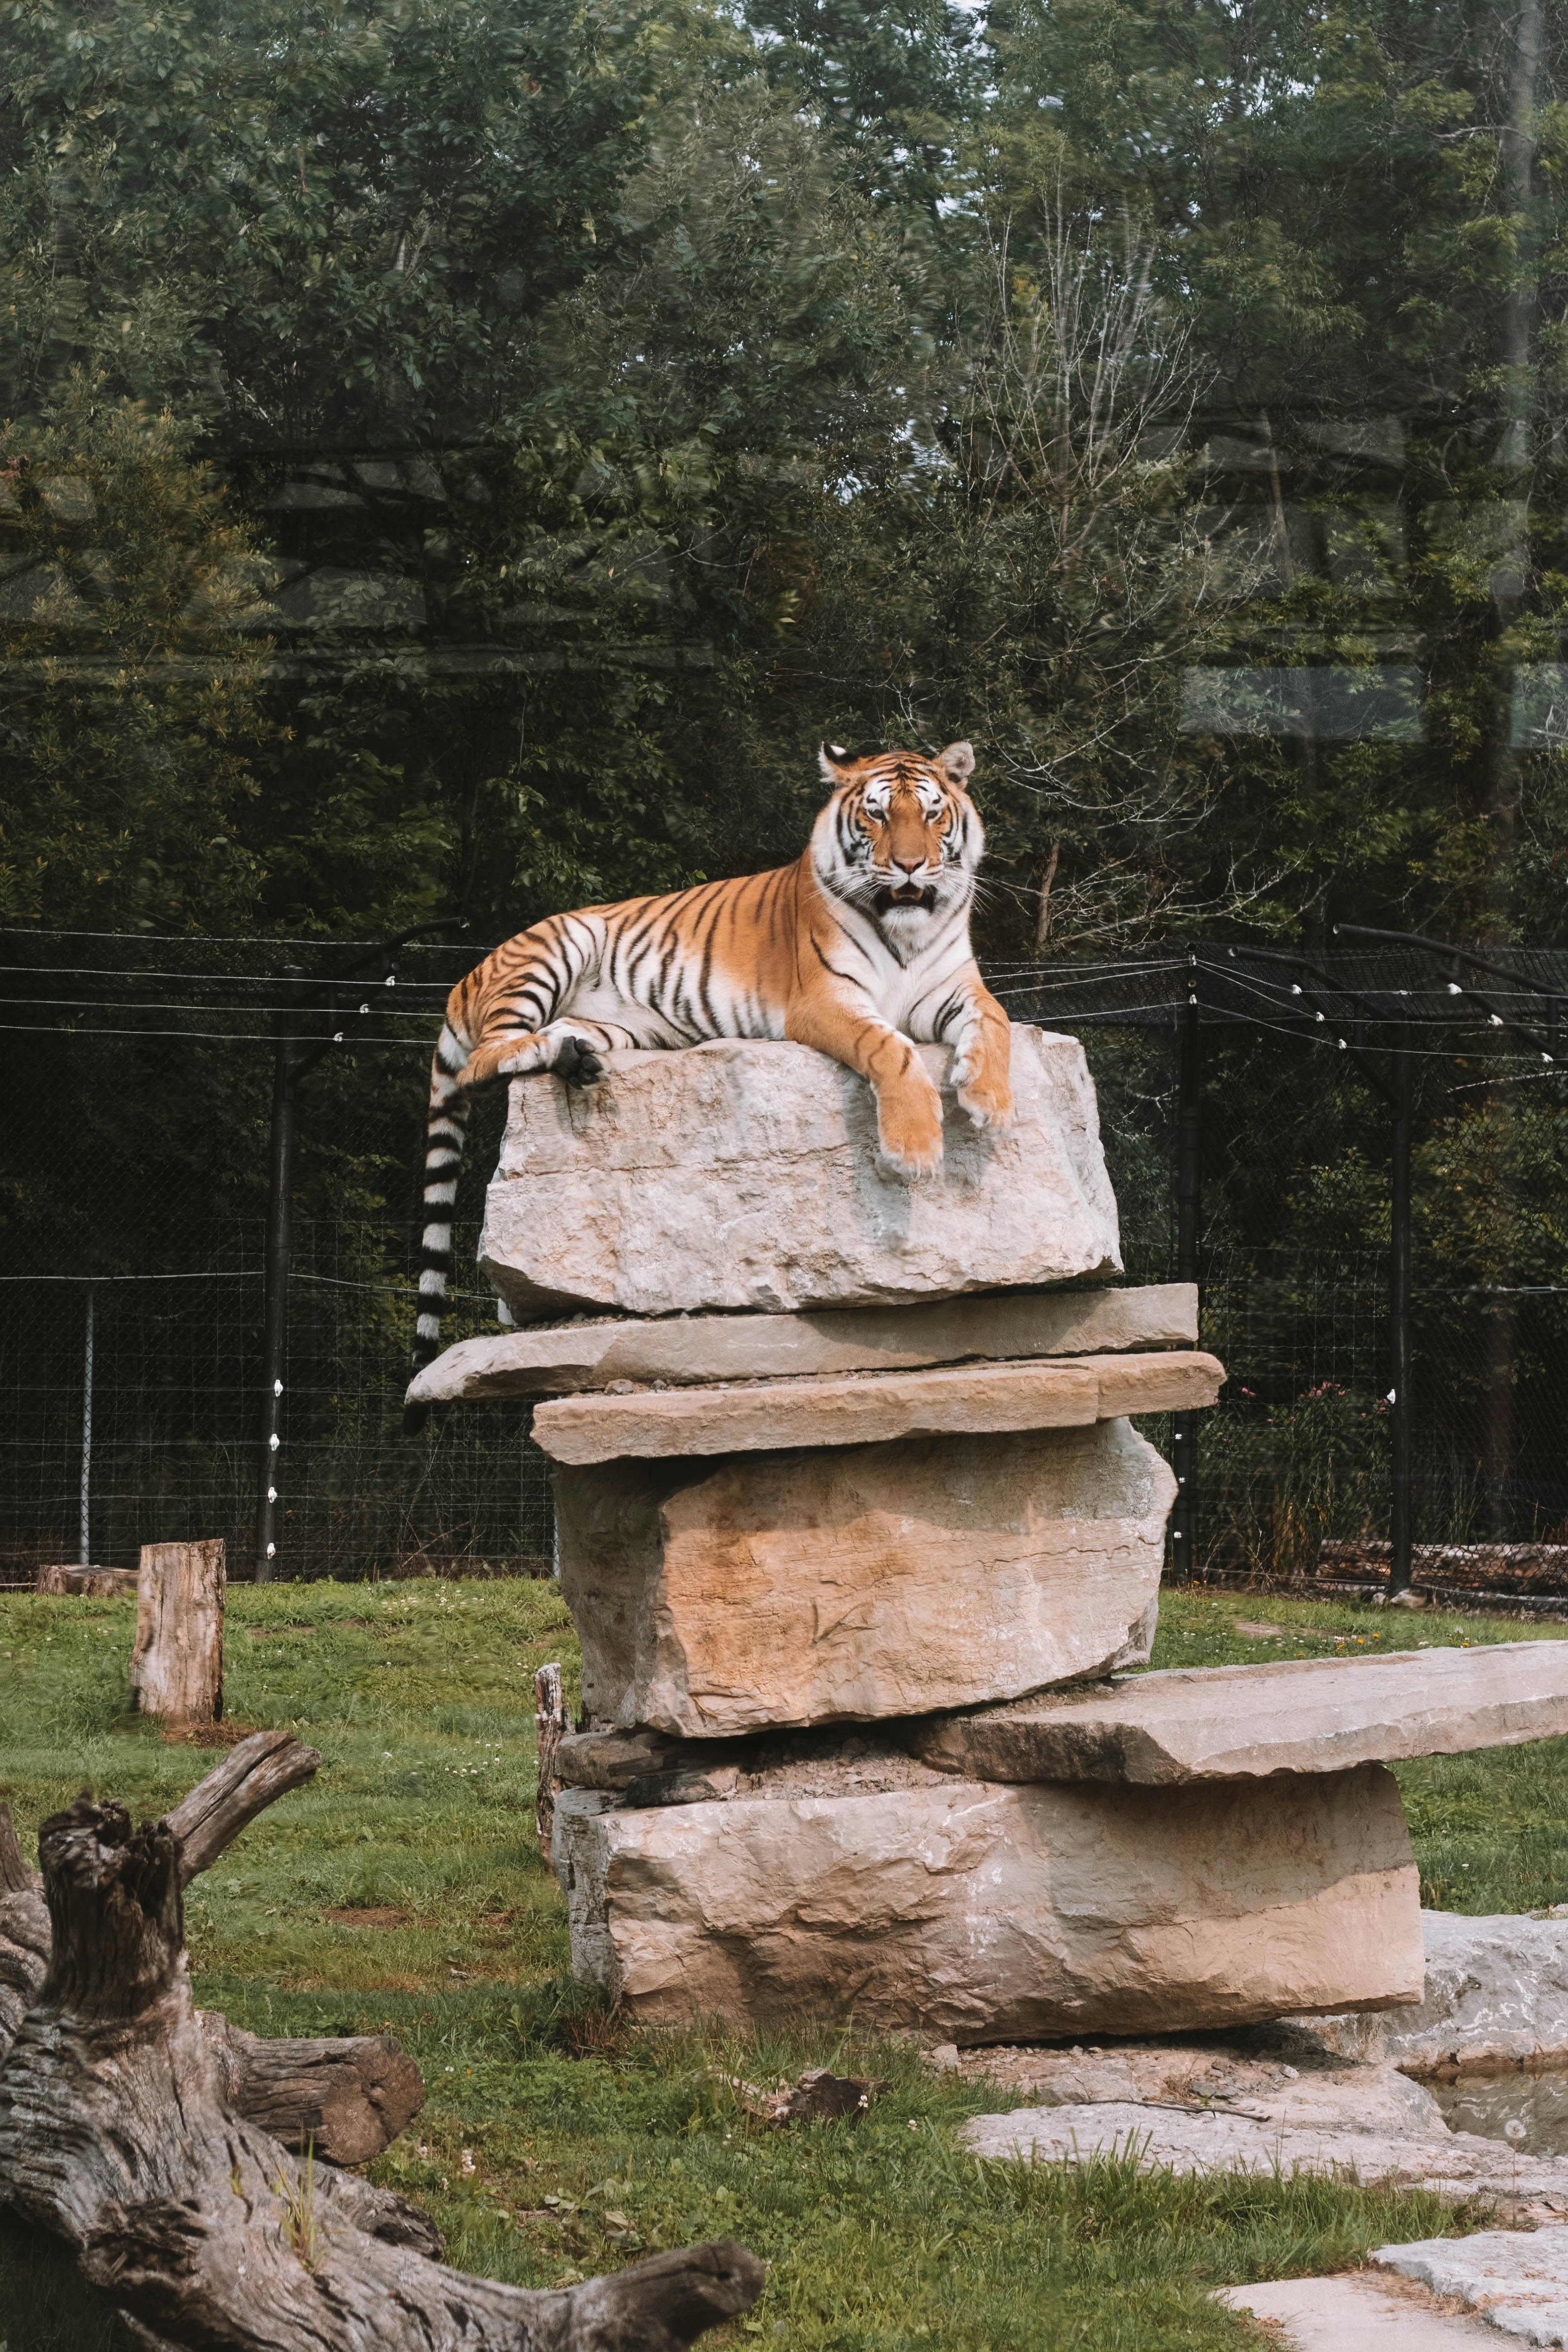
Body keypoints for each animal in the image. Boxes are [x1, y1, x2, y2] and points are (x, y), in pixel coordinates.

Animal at [404, 738, 1013, 1426]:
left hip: (625, 1025)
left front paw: (989, 1101)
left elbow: (997, 1020)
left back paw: (578, 1060)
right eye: (879, 815)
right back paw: (555, 1054)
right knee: (484, 1060)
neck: (909, 930)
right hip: (555, 947)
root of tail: (464, 979)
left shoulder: (955, 987)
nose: (911, 866)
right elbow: (893, 1050)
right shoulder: (826, 1001)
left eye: (933, 815)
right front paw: (914, 1150)